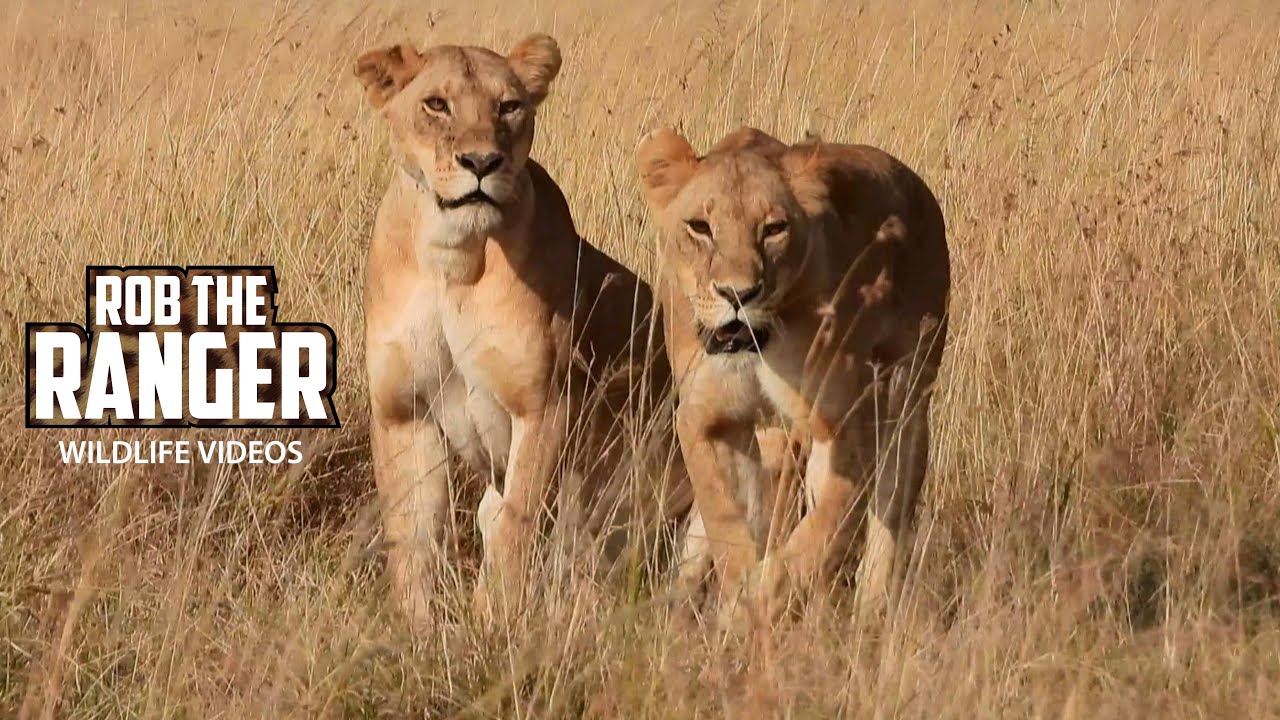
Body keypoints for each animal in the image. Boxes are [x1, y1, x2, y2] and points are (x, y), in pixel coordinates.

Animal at [355, 35, 682, 622]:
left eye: (508, 106)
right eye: (436, 104)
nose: (483, 162)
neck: (453, 257)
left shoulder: (544, 406)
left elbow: (515, 528)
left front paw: (493, 624)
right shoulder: (402, 411)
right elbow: (412, 537)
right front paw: (417, 629)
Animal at [635, 126, 950, 623]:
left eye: (774, 228)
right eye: (700, 227)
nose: (737, 294)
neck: (757, 348)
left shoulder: (837, 422)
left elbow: (825, 526)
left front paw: (768, 591)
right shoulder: (705, 418)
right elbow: (725, 516)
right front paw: (739, 599)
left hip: (908, 394)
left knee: (891, 502)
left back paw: (868, 612)